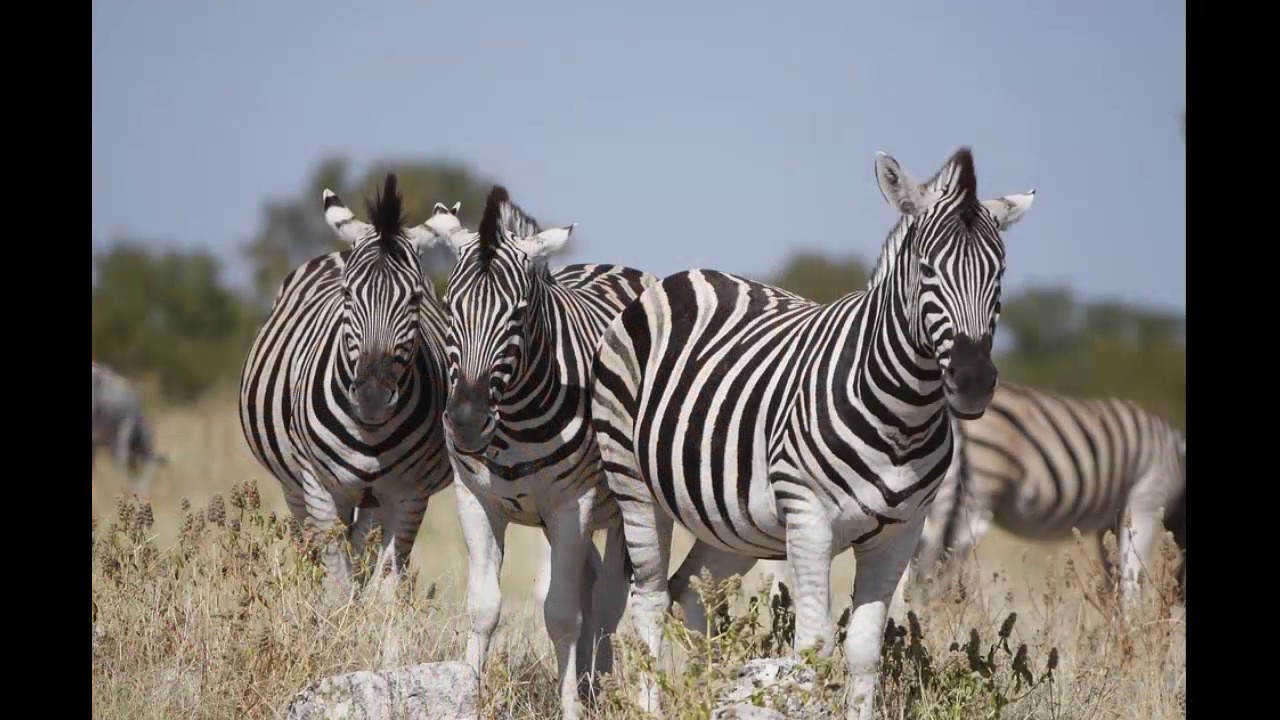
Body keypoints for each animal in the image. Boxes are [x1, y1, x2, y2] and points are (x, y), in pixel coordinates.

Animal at [238, 173, 460, 602]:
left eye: (416, 298)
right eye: (347, 294)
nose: (371, 398)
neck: (370, 433)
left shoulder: (409, 494)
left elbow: (383, 588)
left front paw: (370, 619)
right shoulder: (319, 487)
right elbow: (336, 584)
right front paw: (333, 618)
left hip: (373, 496)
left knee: (363, 548)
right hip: (297, 488)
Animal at [433, 184, 657, 719]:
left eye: (517, 314)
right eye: (449, 307)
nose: (466, 422)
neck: (512, 418)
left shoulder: (571, 505)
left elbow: (560, 613)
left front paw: (572, 706)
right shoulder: (476, 500)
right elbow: (484, 607)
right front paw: (467, 695)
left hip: (626, 508)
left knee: (614, 601)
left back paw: (612, 690)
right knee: (595, 594)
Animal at [590, 146, 1035, 719]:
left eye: (999, 273)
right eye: (926, 269)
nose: (974, 381)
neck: (903, 417)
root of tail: (680, 278)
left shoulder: (900, 534)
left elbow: (863, 650)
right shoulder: (809, 521)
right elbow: (812, 647)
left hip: (730, 520)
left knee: (689, 591)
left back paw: (703, 691)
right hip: (635, 484)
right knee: (647, 597)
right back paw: (653, 705)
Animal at [908, 382, 1187, 612]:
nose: (1178, 602)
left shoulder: (1111, 521)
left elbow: (1115, 581)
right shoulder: (1146, 501)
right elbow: (1133, 582)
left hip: (939, 494)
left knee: (920, 567)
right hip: (977, 489)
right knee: (936, 574)